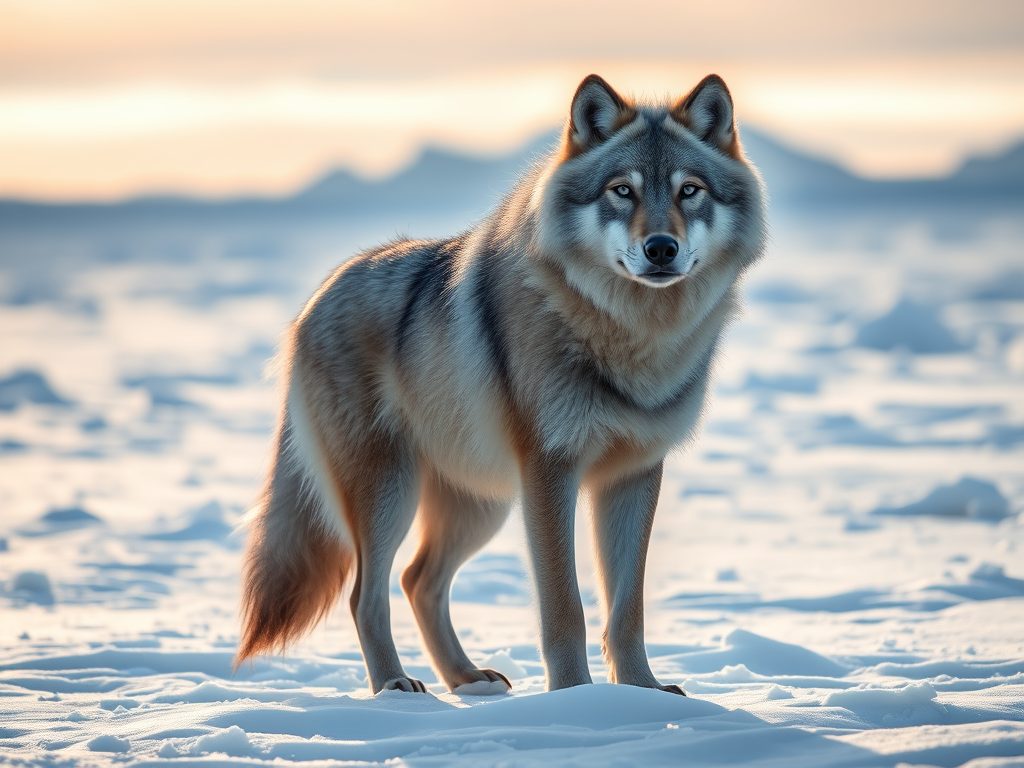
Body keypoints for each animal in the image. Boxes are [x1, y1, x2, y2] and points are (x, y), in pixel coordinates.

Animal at [235, 73, 766, 696]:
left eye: (689, 190)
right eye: (622, 191)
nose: (661, 248)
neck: (631, 341)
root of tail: (317, 297)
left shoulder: (634, 474)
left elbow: (626, 609)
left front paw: (642, 696)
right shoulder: (550, 470)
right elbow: (565, 608)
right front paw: (574, 699)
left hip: (479, 504)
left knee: (418, 580)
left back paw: (467, 679)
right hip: (392, 492)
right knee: (366, 594)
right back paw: (395, 687)